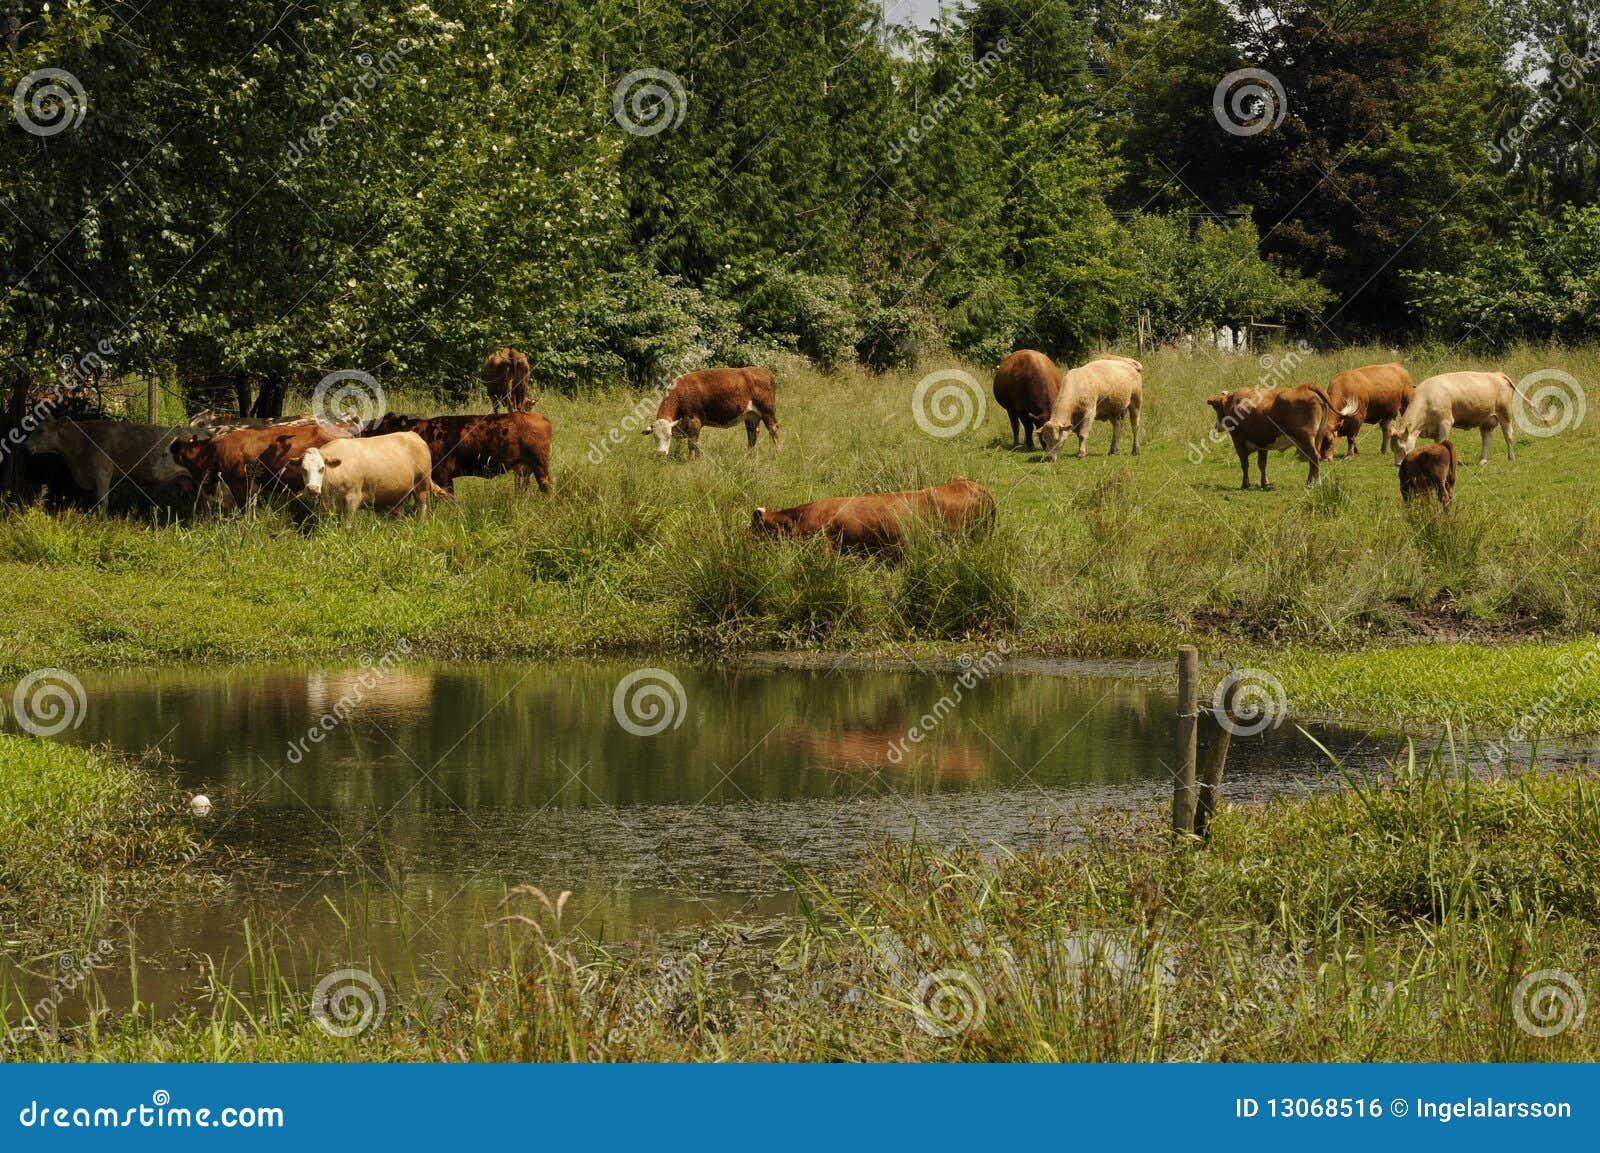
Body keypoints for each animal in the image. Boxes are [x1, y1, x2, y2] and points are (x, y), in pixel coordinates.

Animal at [300, 432, 441, 523]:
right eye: (303, 469)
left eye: (321, 468)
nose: (312, 489)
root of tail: (413, 434)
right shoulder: (326, 503)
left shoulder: (353, 498)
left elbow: (347, 525)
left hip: (422, 484)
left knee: (422, 507)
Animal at [365, 412, 552, 494]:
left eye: (380, 426)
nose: (363, 431)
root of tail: (539, 416)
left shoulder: (443, 476)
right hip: (523, 468)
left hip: (540, 464)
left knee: (547, 487)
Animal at [644, 366, 778, 459]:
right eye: (655, 437)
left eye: (669, 436)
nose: (661, 453)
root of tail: (763, 370)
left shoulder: (695, 420)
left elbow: (692, 444)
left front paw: (692, 461)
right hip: (751, 416)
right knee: (752, 435)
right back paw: (749, 455)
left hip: (768, 411)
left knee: (773, 431)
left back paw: (777, 453)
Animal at [1205, 384, 1341, 488]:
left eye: (1216, 407)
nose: (1216, 426)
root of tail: (1305, 386)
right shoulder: (1261, 442)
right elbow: (1262, 464)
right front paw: (1264, 483)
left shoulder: (1238, 440)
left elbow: (1245, 464)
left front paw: (1245, 484)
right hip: (1316, 438)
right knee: (1312, 459)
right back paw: (1309, 482)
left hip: (1306, 438)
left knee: (1314, 457)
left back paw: (1315, 483)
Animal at [1390, 371, 1536, 465]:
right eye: (1392, 448)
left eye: (1401, 447)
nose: (1398, 464)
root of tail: (1496, 374)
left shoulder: (1445, 422)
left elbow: (1442, 442)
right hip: (1486, 421)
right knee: (1486, 440)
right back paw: (1482, 461)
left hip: (1505, 414)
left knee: (1508, 436)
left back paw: (1511, 458)